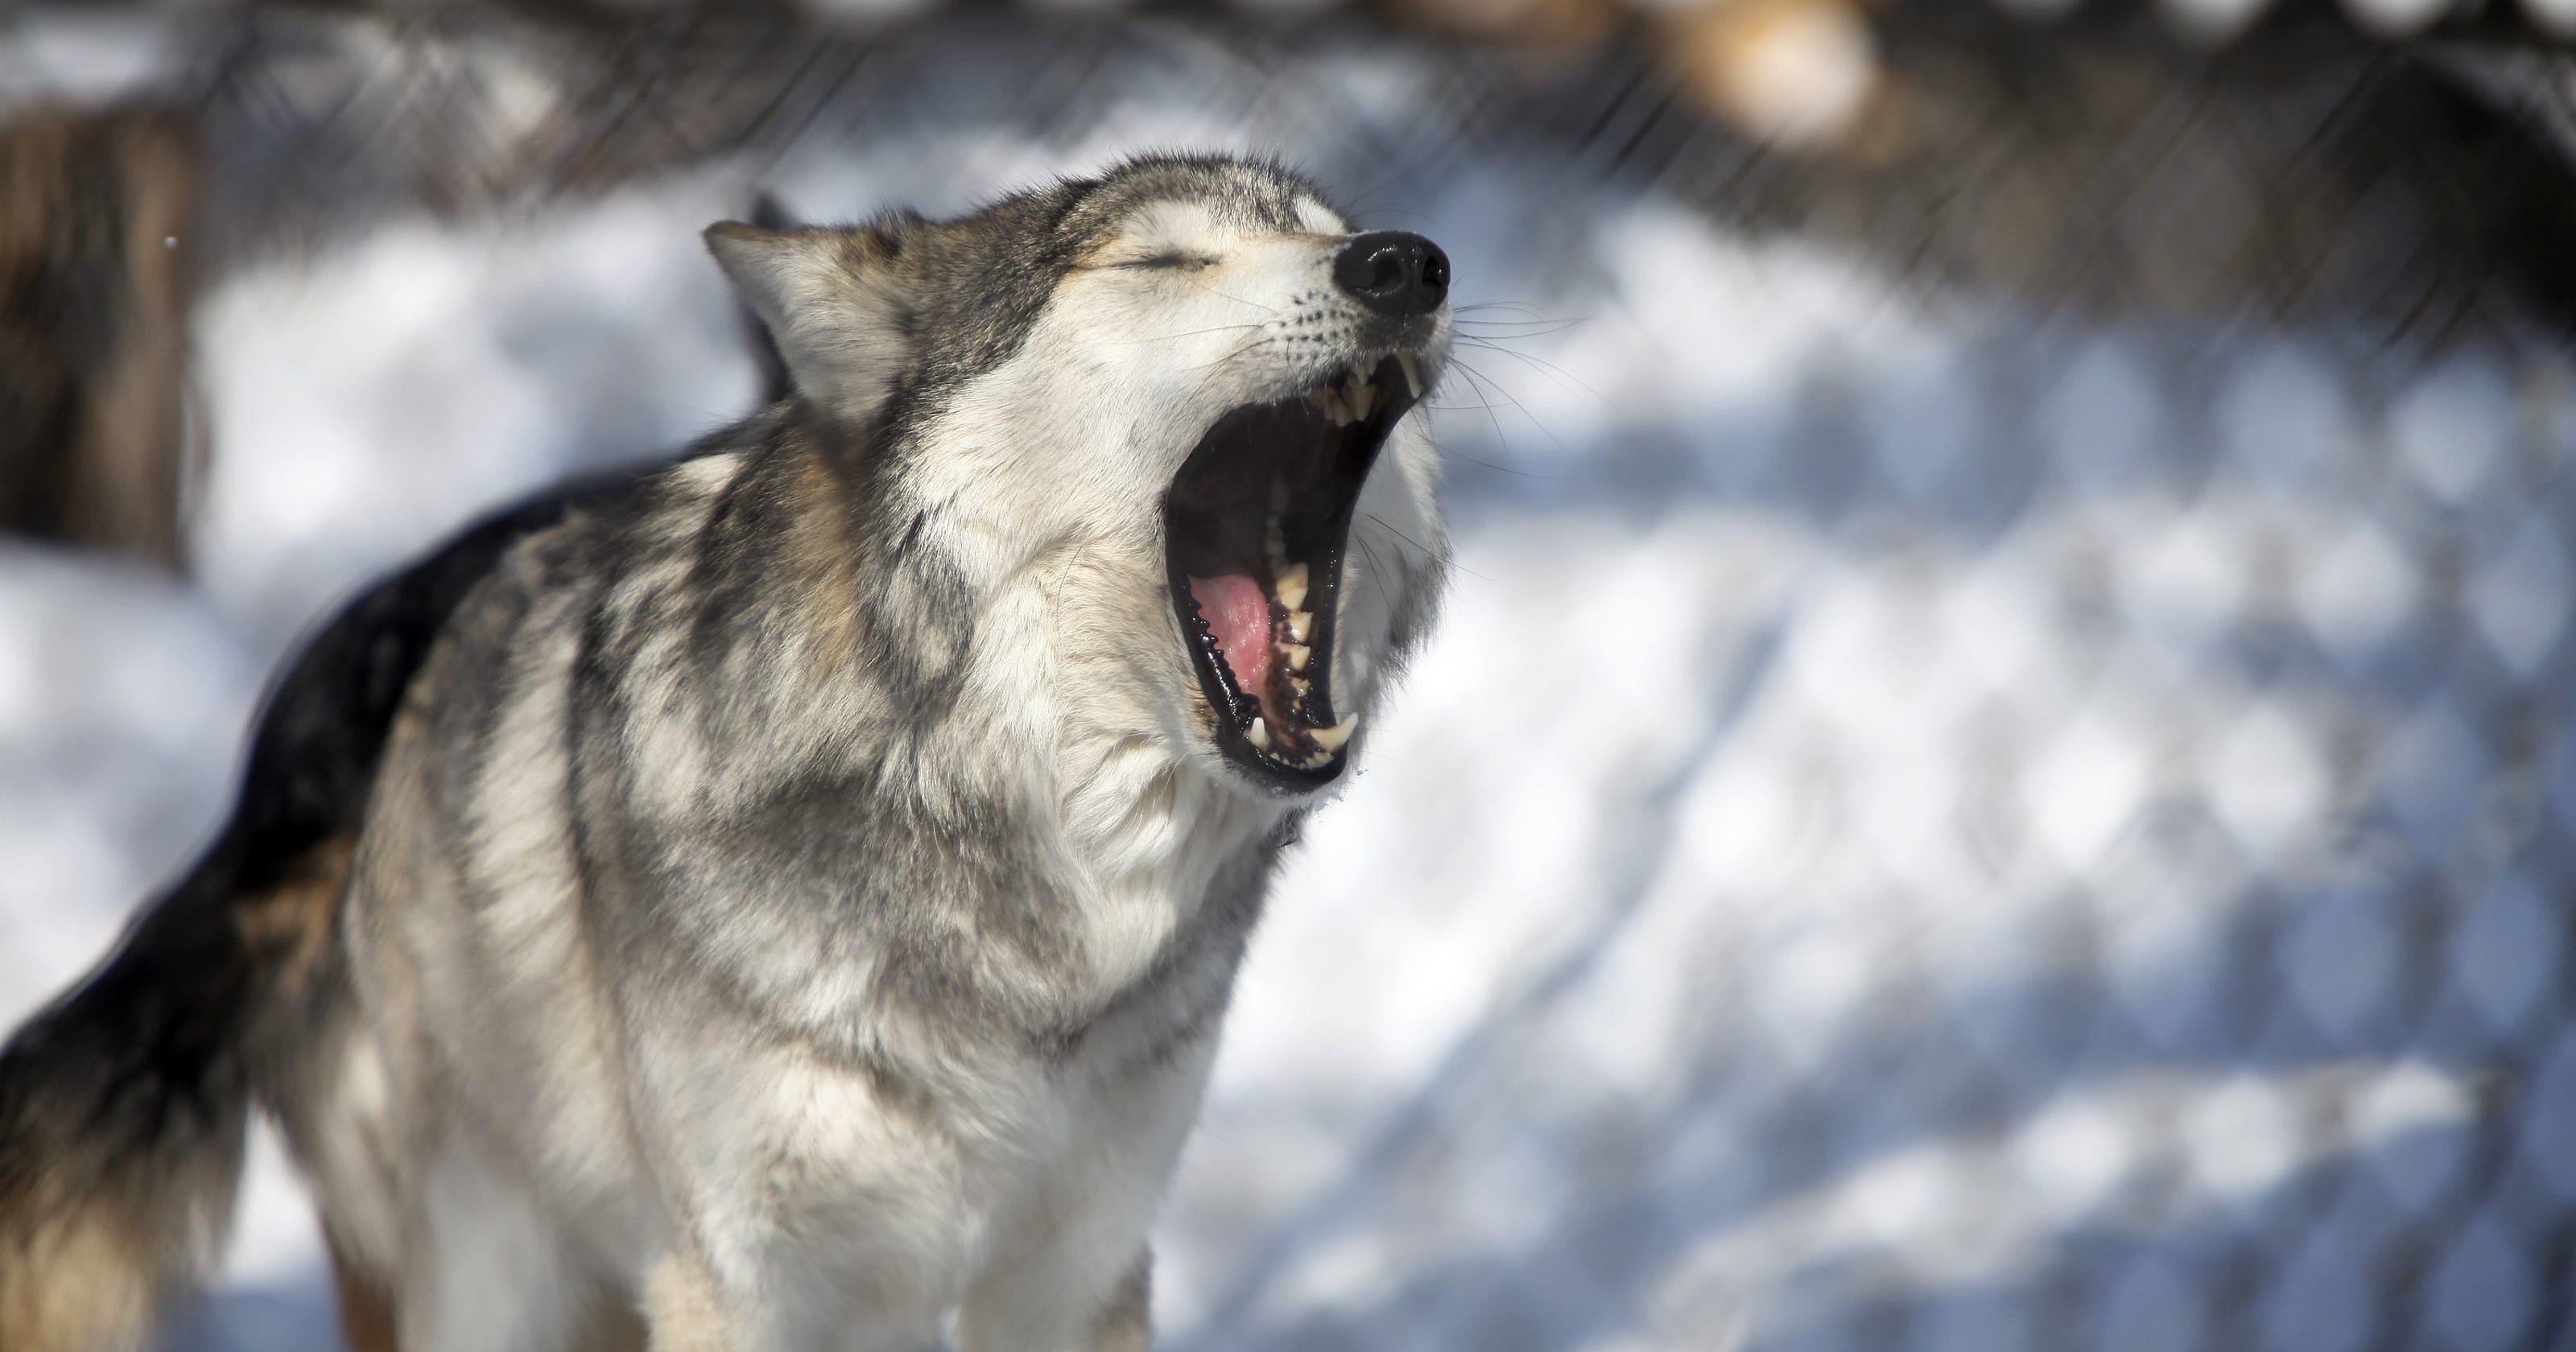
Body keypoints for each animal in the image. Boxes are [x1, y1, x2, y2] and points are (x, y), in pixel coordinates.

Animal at [0, 153, 1451, 1352]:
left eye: (1326, 229)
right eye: (1162, 263)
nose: (1405, 262)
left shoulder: (1072, 1277)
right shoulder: (743, 1281)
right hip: (493, 1266)